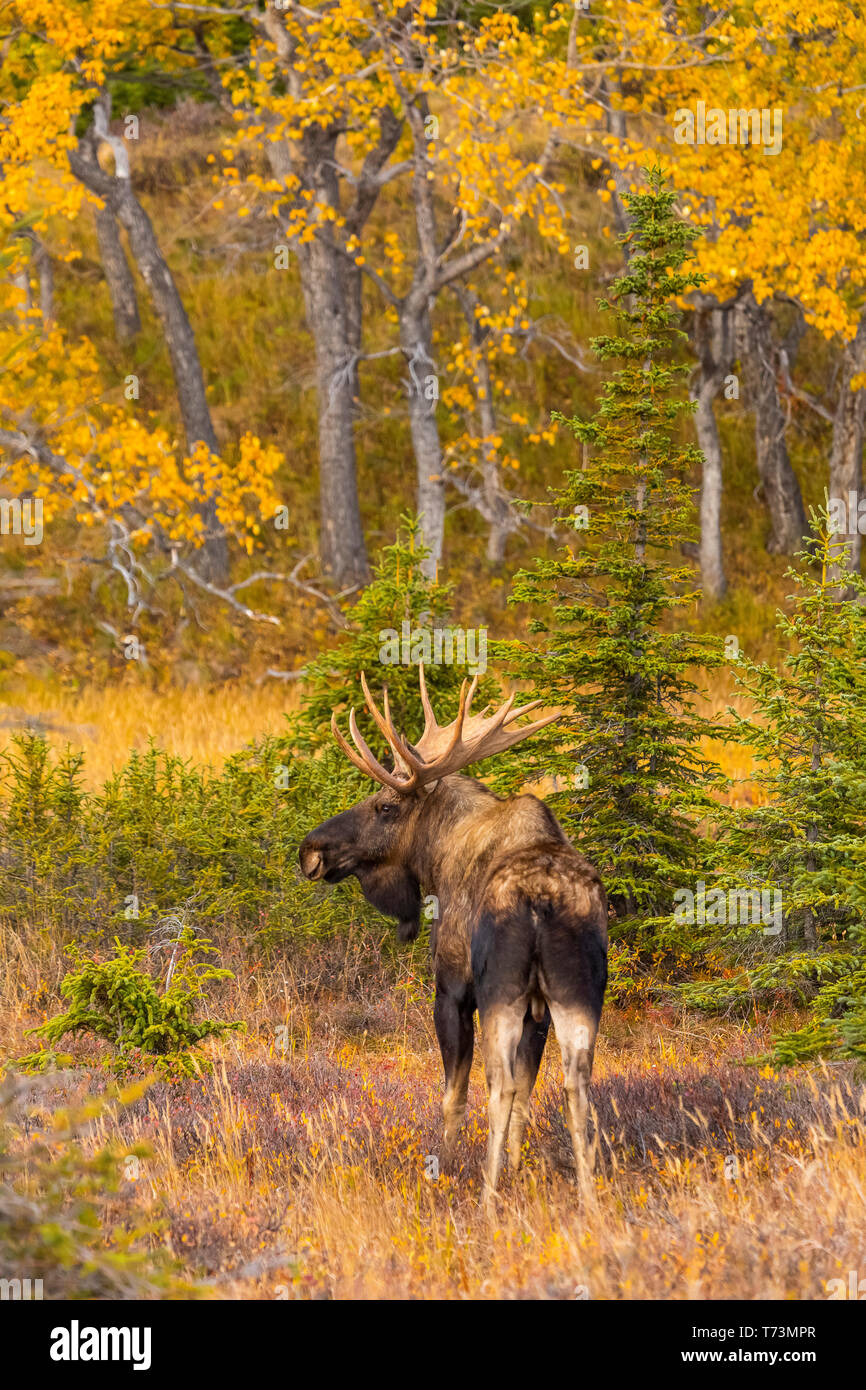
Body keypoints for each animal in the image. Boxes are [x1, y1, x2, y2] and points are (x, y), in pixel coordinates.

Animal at [298, 666, 608, 1197]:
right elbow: (528, 1095)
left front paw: (445, 1165)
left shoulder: (452, 990)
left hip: (501, 993)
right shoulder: (540, 1012)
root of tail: (542, 900)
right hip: (578, 995)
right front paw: (516, 1170)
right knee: (574, 1083)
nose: (311, 849)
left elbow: (454, 1096)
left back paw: (487, 1194)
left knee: (499, 1086)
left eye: (385, 806)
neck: (438, 857)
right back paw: (586, 1194)